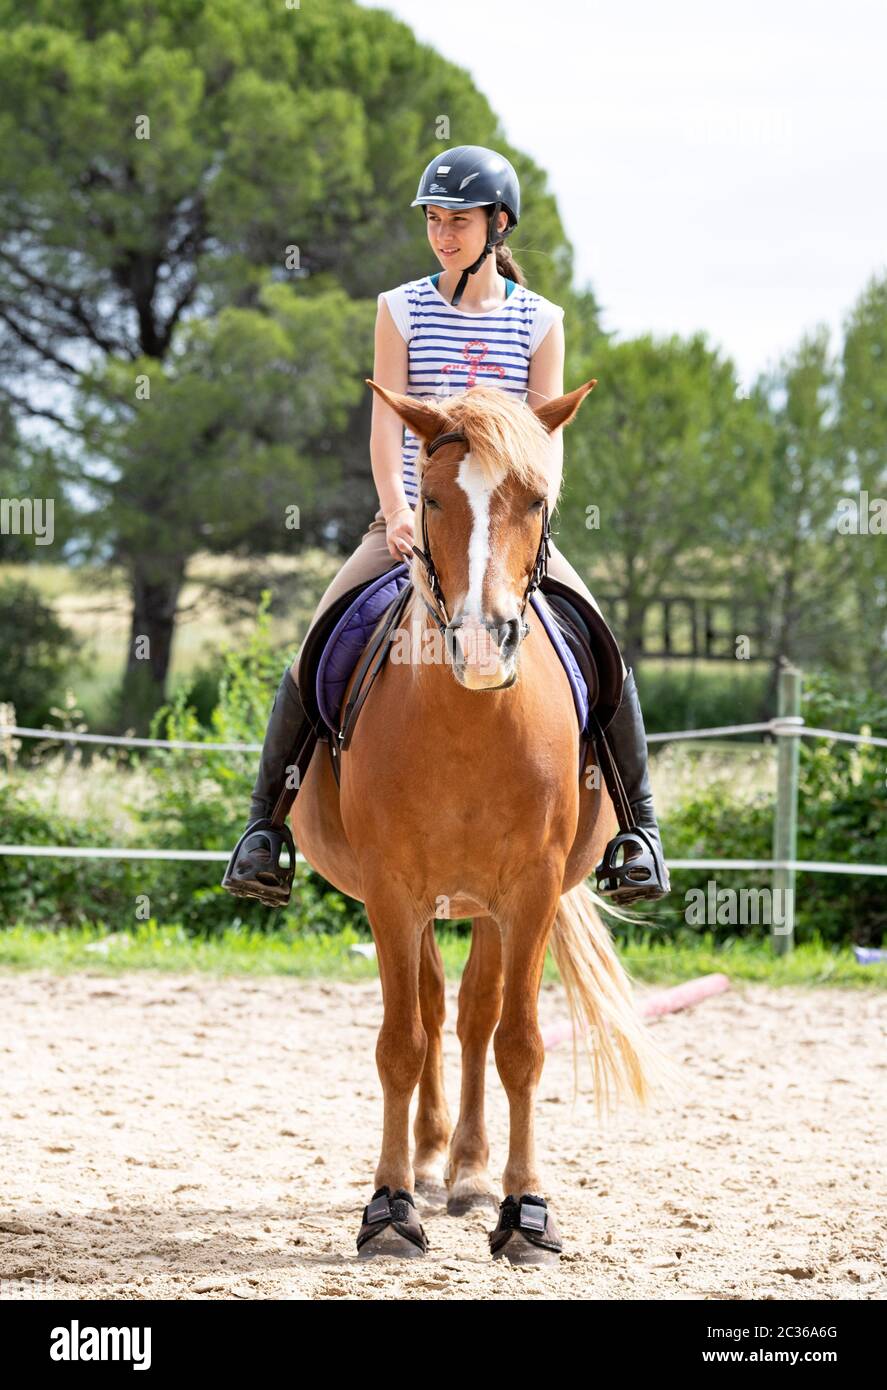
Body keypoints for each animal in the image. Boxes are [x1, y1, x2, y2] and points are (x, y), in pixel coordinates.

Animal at [292, 379, 679, 1263]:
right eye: (431, 499)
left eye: (535, 499)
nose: (478, 642)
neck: (467, 721)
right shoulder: (391, 891)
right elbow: (400, 1043)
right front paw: (389, 1207)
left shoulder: (528, 891)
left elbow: (518, 1045)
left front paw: (524, 1211)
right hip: (428, 902)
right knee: (435, 1011)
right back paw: (433, 1164)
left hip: (493, 909)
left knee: (472, 1016)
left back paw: (468, 1173)